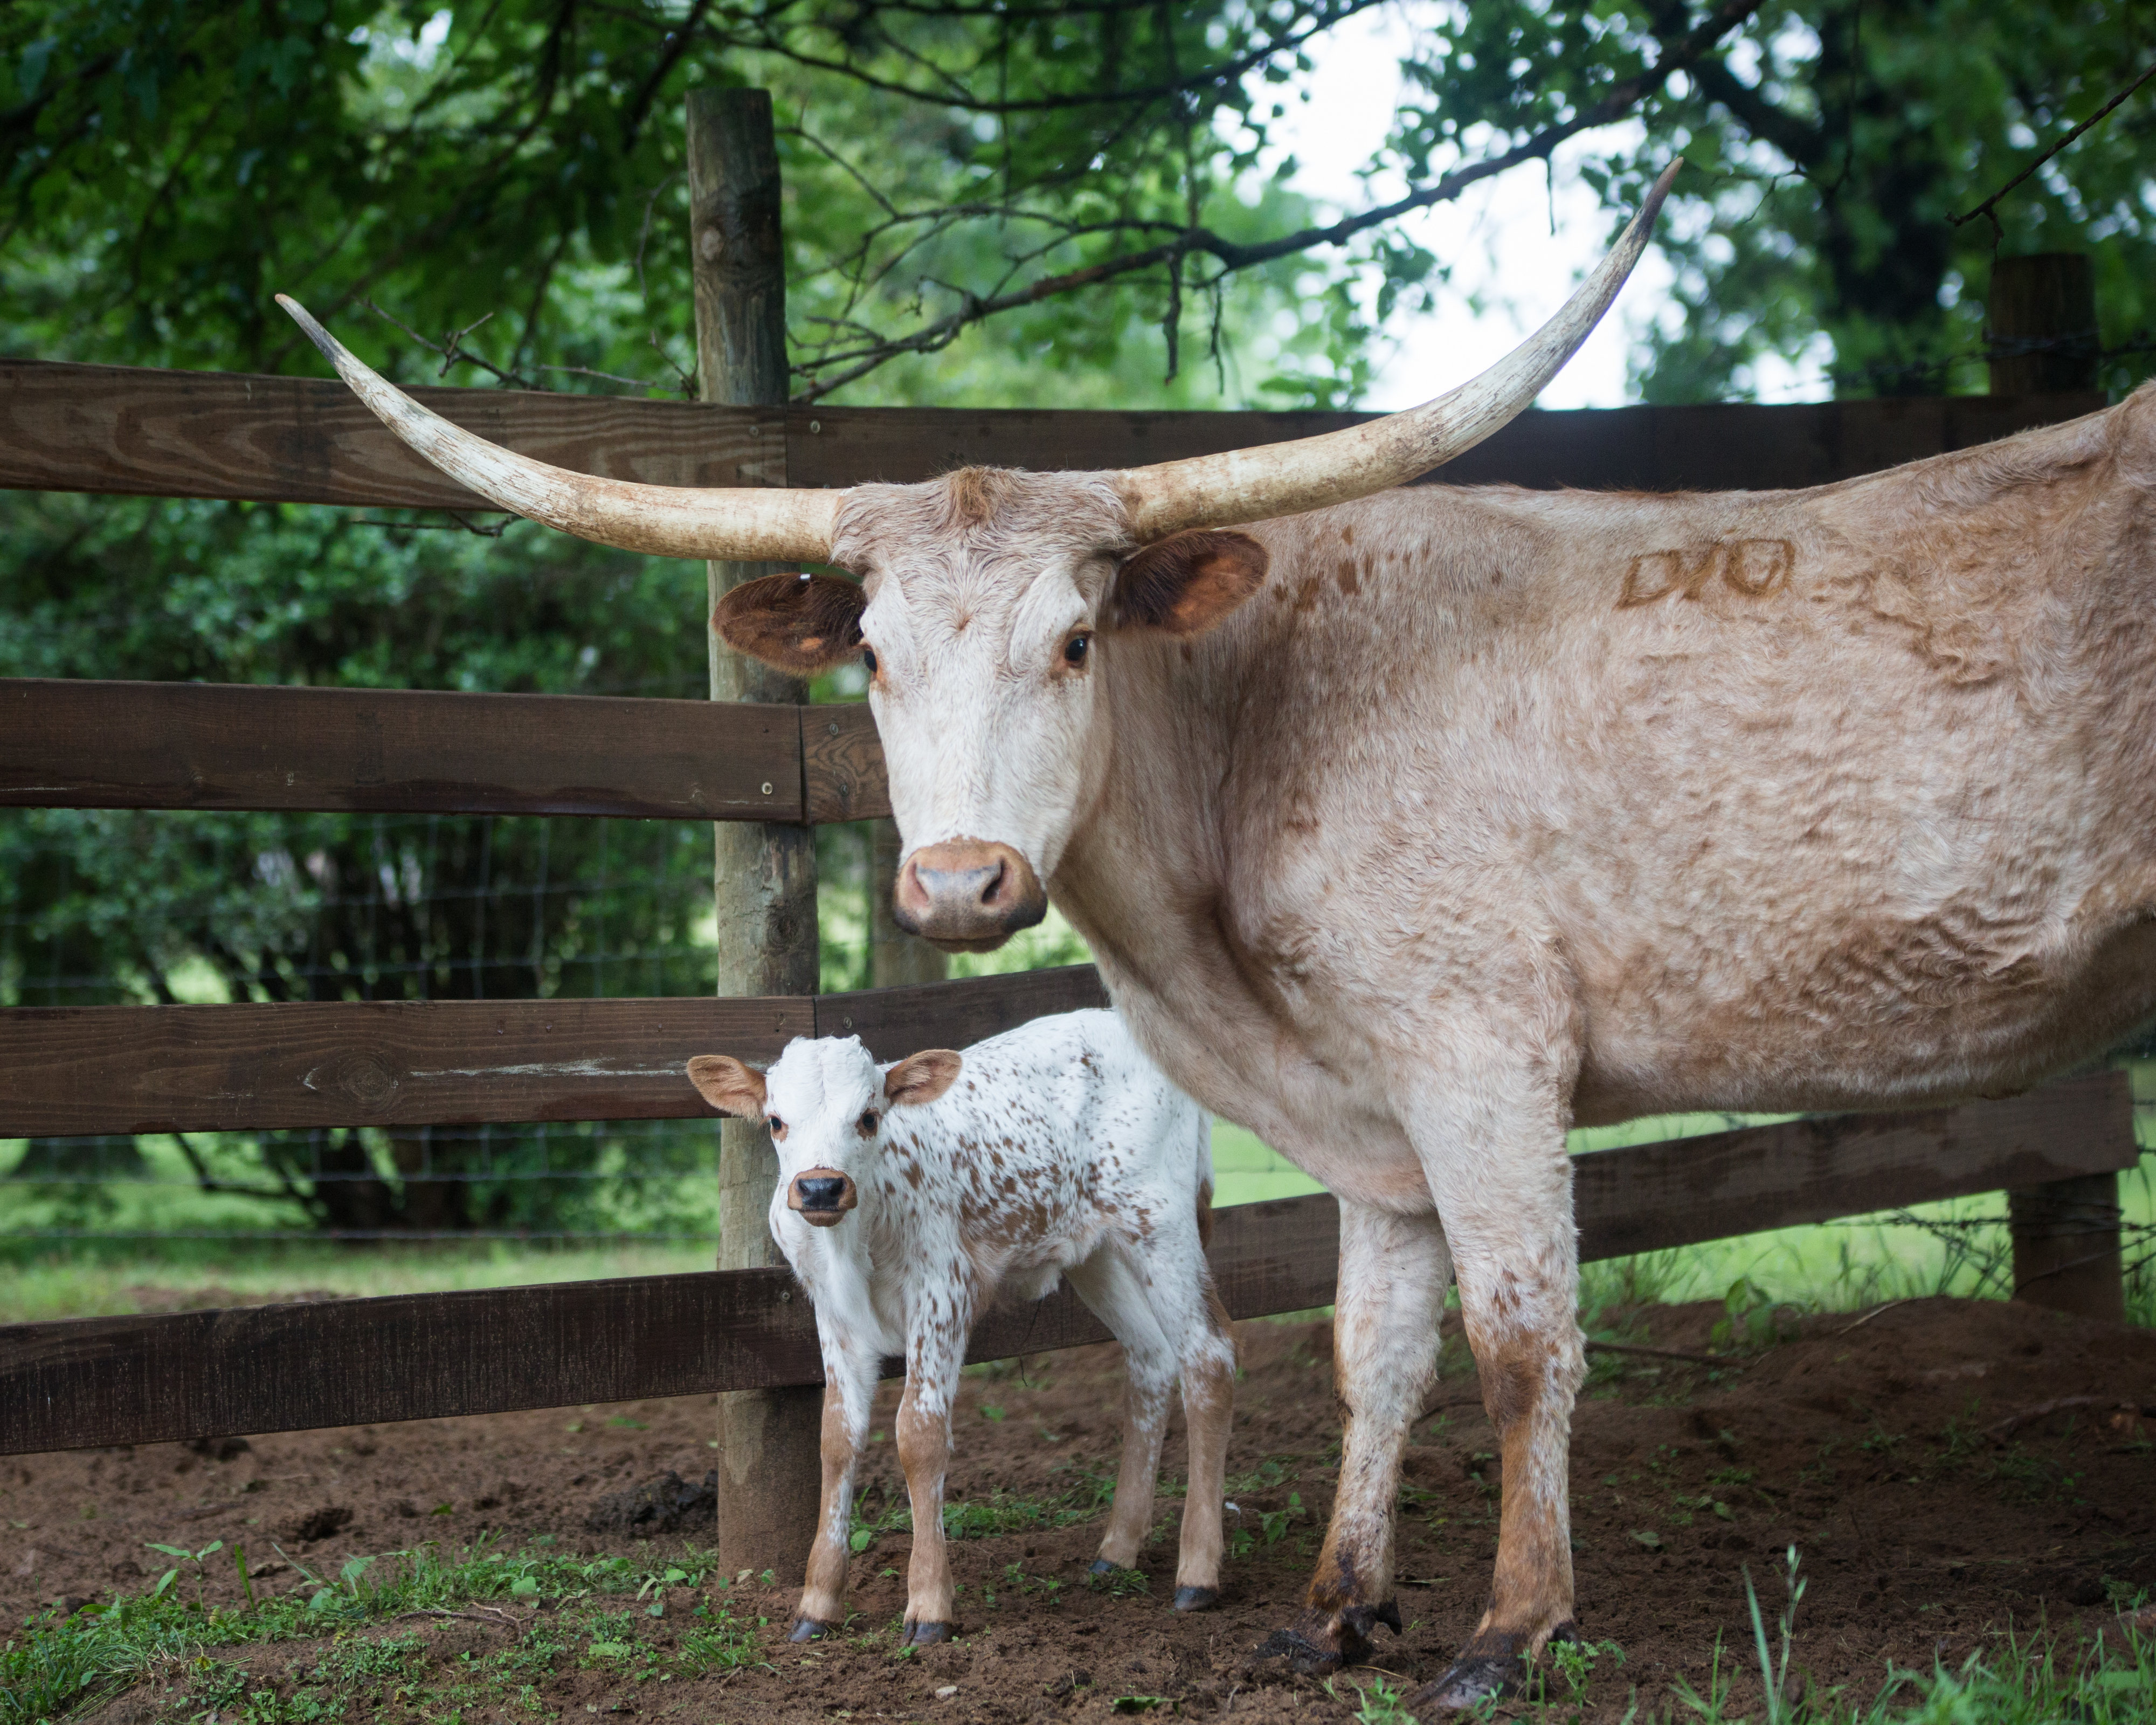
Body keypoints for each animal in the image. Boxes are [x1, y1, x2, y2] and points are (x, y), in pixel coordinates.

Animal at [682, 1011, 1235, 1645]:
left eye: (868, 1116)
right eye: (776, 1120)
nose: (821, 1186)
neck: (856, 1238)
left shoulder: (942, 1291)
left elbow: (919, 1435)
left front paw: (928, 1603)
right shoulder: (833, 1313)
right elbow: (837, 1439)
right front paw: (817, 1602)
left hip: (1160, 1222)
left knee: (1208, 1356)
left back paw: (1198, 1571)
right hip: (1096, 1252)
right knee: (1152, 1358)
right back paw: (1117, 1549)